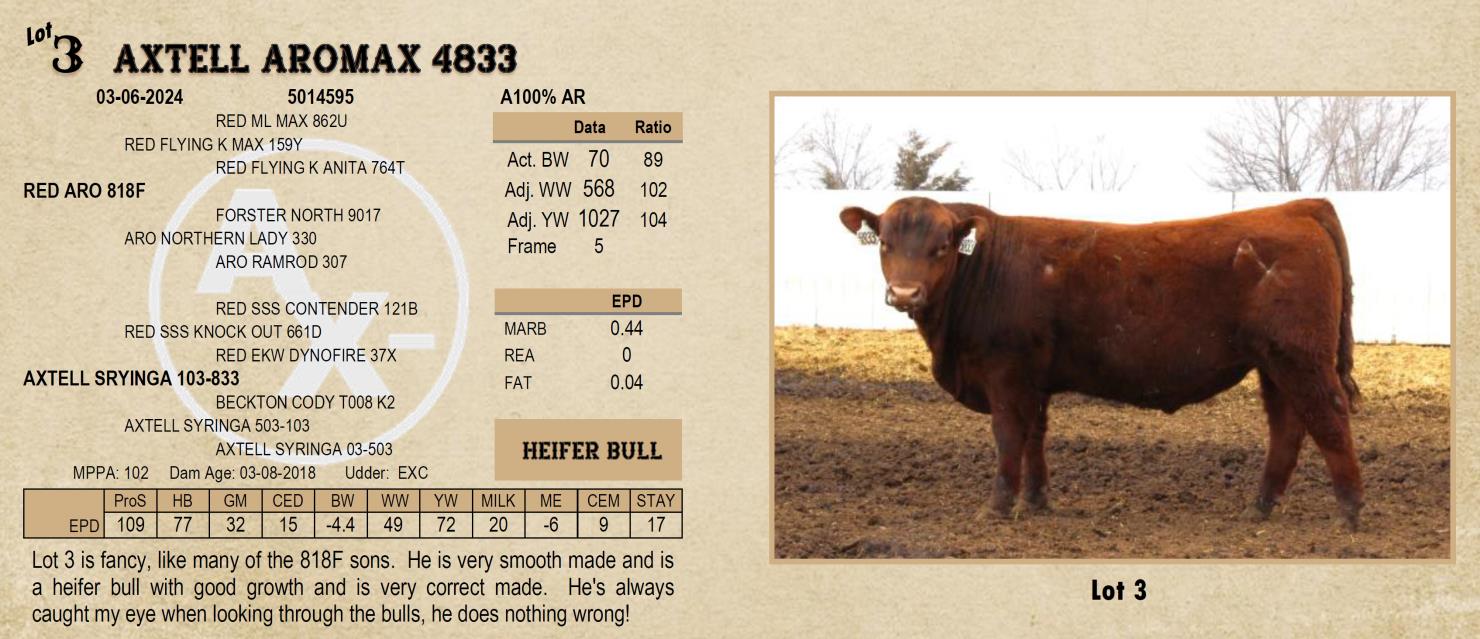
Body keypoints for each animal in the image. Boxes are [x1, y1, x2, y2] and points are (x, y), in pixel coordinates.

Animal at [839, 196, 1363, 530]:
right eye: (884, 243)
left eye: (942, 246)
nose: (905, 293)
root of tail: (1296, 208)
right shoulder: (1034, 379)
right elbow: (1034, 437)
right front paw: (1037, 501)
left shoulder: (1007, 373)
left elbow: (1008, 435)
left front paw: (997, 507)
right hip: (1273, 362)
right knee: (1287, 427)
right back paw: (1260, 507)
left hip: (1300, 356)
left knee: (1329, 418)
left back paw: (1350, 512)